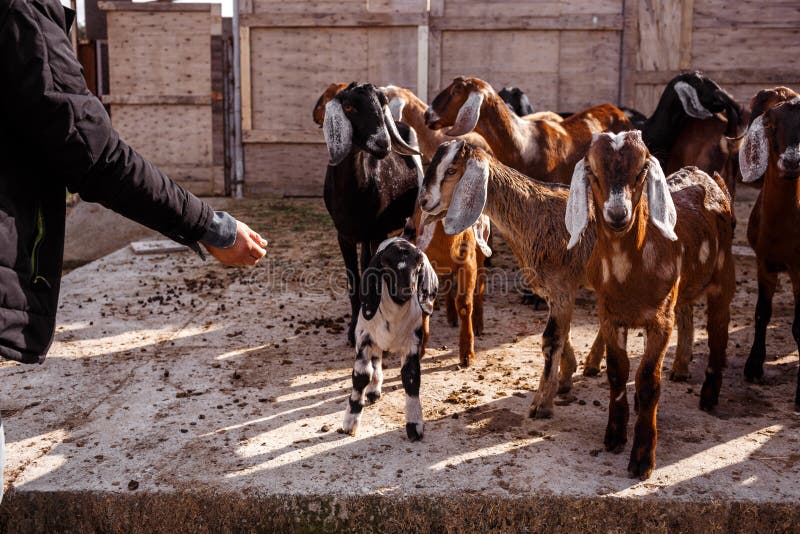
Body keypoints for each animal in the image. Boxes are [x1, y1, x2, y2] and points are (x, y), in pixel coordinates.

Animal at [321, 82, 423, 345]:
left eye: (381, 103)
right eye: (349, 107)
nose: (383, 143)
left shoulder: (376, 233)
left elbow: (369, 275)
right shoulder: (343, 235)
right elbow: (353, 280)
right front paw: (352, 330)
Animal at [342, 235, 439, 440]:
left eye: (419, 265)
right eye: (385, 265)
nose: (406, 290)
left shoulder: (413, 342)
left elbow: (411, 377)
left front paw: (414, 425)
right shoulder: (364, 339)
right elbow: (361, 376)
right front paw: (350, 421)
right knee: (376, 359)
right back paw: (373, 389)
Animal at [415, 210, 491, 366]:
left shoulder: (468, 260)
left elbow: (464, 304)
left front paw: (467, 355)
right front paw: (420, 350)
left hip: (481, 246)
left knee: (480, 282)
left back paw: (478, 324)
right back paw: (451, 316)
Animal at [565, 130, 735, 480]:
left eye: (642, 170)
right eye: (592, 171)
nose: (618, 214)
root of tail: (709, 178)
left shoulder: (660, 321)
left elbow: (647, 381)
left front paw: (642, 458)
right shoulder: (609, 315)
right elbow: (618, 373)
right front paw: (614, 436)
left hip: (724, 276)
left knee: (718, 334)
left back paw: (709, 396)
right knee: (687, 312)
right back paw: (681, 366)